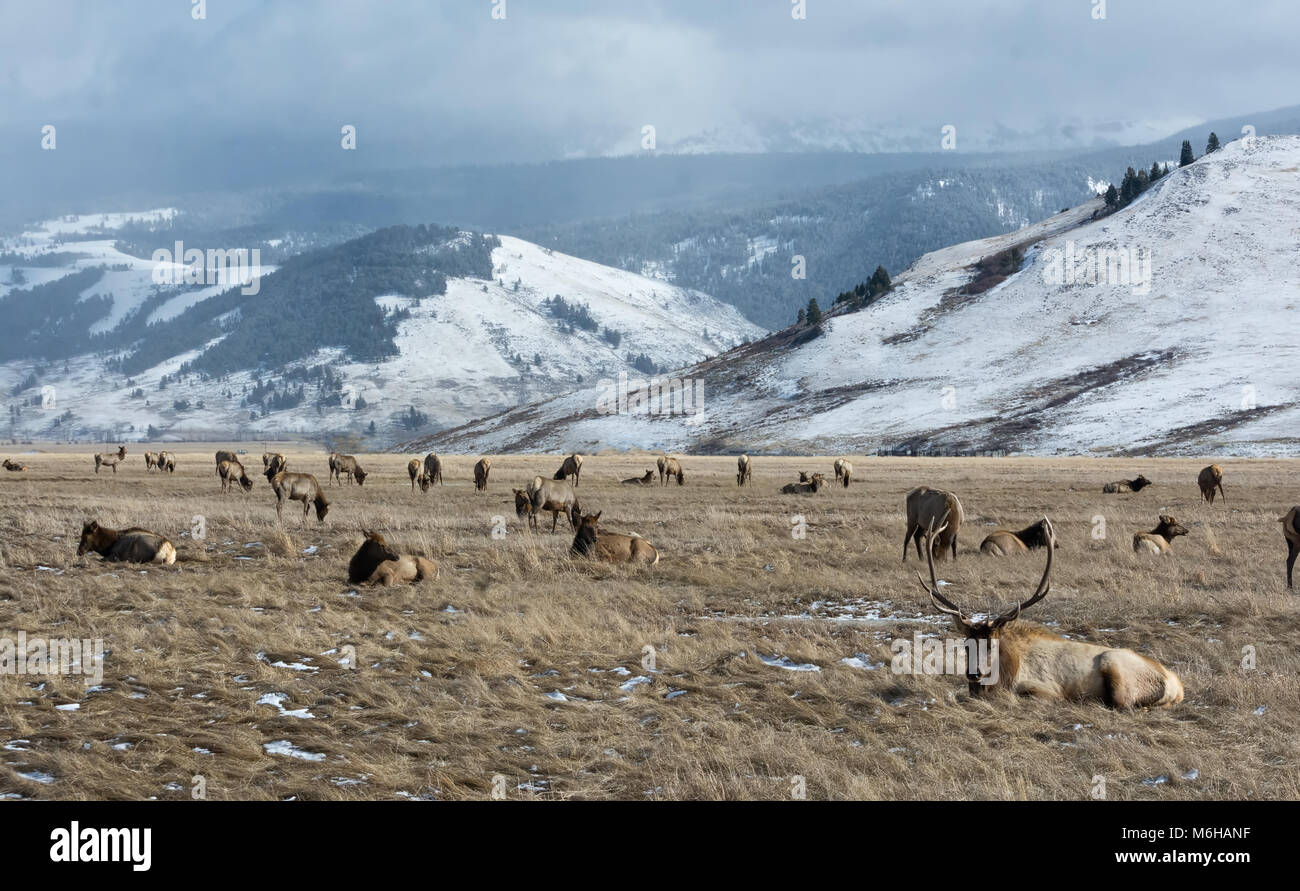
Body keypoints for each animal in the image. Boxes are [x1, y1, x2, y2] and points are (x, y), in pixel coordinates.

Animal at [916, 518, 1183, 708]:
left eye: (992, 644)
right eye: (966, 644)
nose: (975, 673)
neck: (1005, 673)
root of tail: (1176, 684)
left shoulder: (1044, 688)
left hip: (1117, 672)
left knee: (1124, 703)